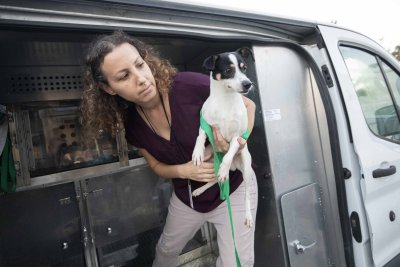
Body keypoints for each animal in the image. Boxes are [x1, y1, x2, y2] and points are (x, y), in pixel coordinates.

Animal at [191, 47, 255, 228]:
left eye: (244, 68)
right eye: (228, 70)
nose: (248, 83)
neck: (226, 100)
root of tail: (235, 167)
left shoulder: (237, 137)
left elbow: (229, 153)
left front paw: (224, 169)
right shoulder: (205, 124)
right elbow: (199, 137)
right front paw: (197, 153)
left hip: (246, 169)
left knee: (247, 195)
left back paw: (248, 216)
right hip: (211, 161)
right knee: (211, 181)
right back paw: (199, 189)